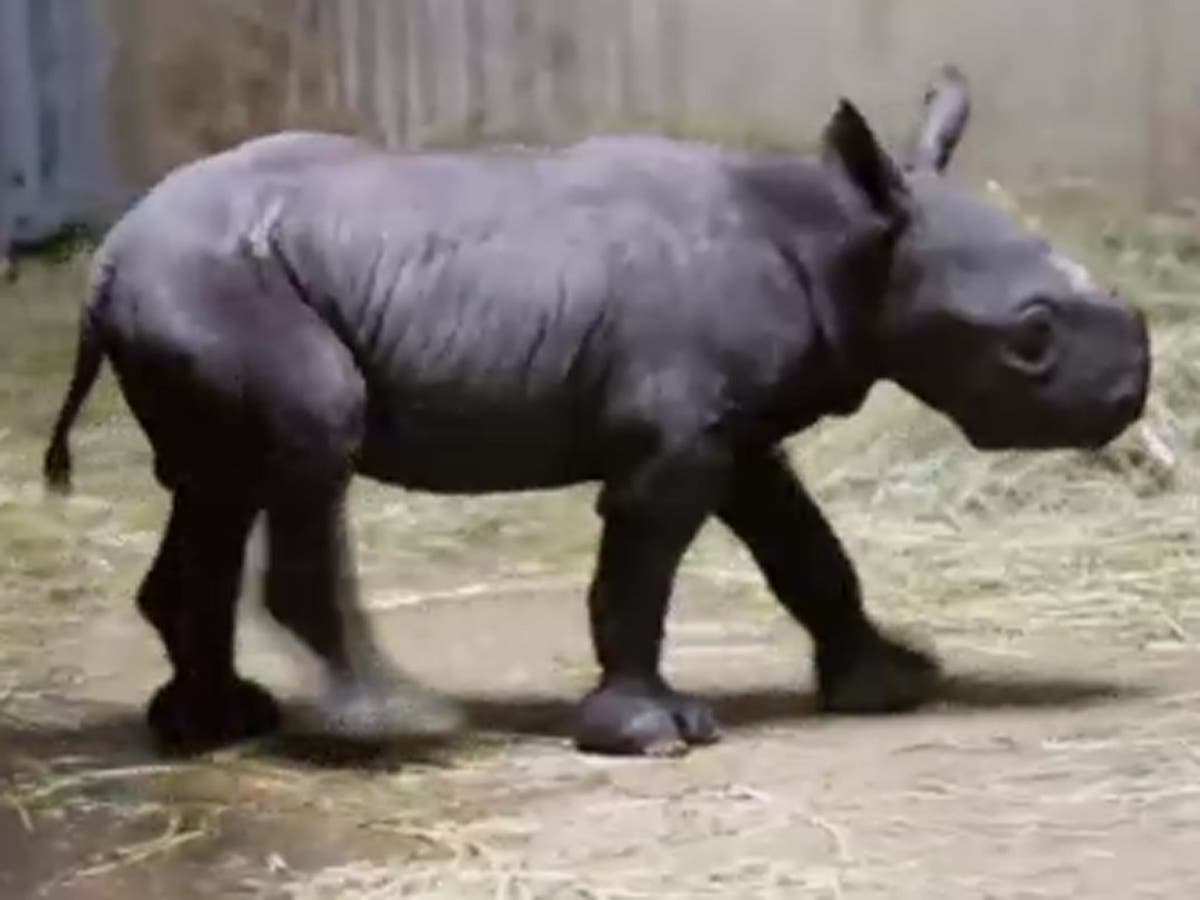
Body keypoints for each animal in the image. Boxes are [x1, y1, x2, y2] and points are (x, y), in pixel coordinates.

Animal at [44, 67, 1148, 756]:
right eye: (1031, 339)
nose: (1134, 386)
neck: (849, 240)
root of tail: (106, 261)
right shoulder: (677, 440)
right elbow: (639, 570)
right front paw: (650, 734)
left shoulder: (737, 428)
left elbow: (807, 548)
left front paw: (894, 684)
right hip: (211, 280)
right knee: (312, 436)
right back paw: (402, 725)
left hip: (188, 285)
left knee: (215, 482)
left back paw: (216, 725)